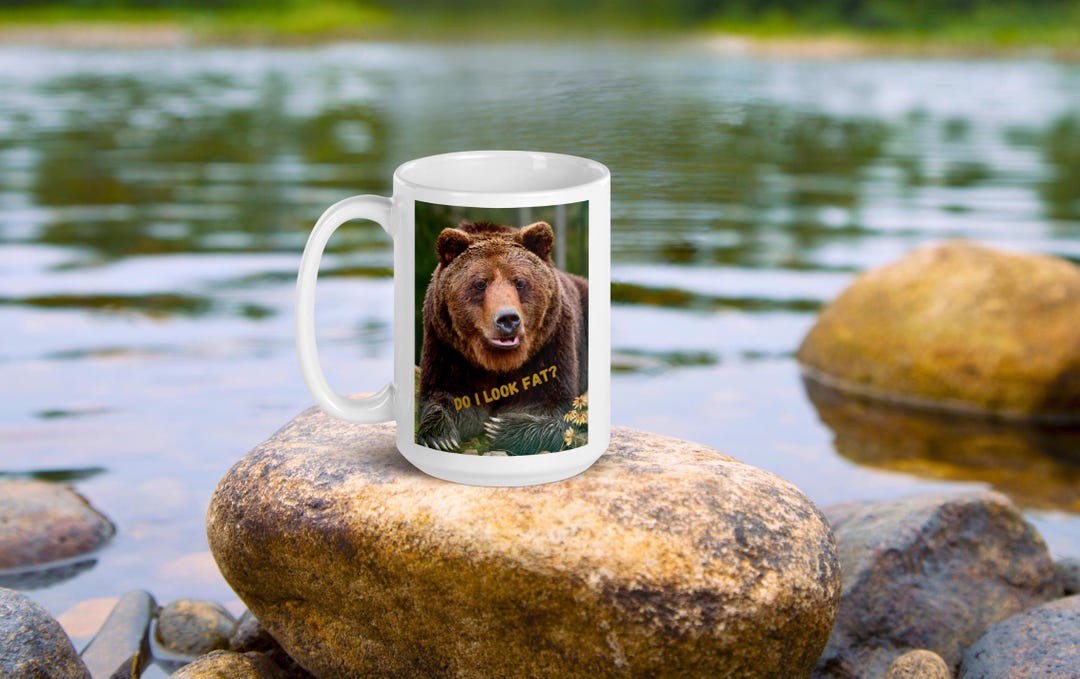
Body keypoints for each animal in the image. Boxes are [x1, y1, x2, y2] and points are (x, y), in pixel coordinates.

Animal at [416, 220, 587, 455]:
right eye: (480, 283)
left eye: (520, 282)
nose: (507, 319)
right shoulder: (447, 347)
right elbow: (445, 395)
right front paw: (440, 436)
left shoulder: (551, 343)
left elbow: (550, 405)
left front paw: (500, 427)